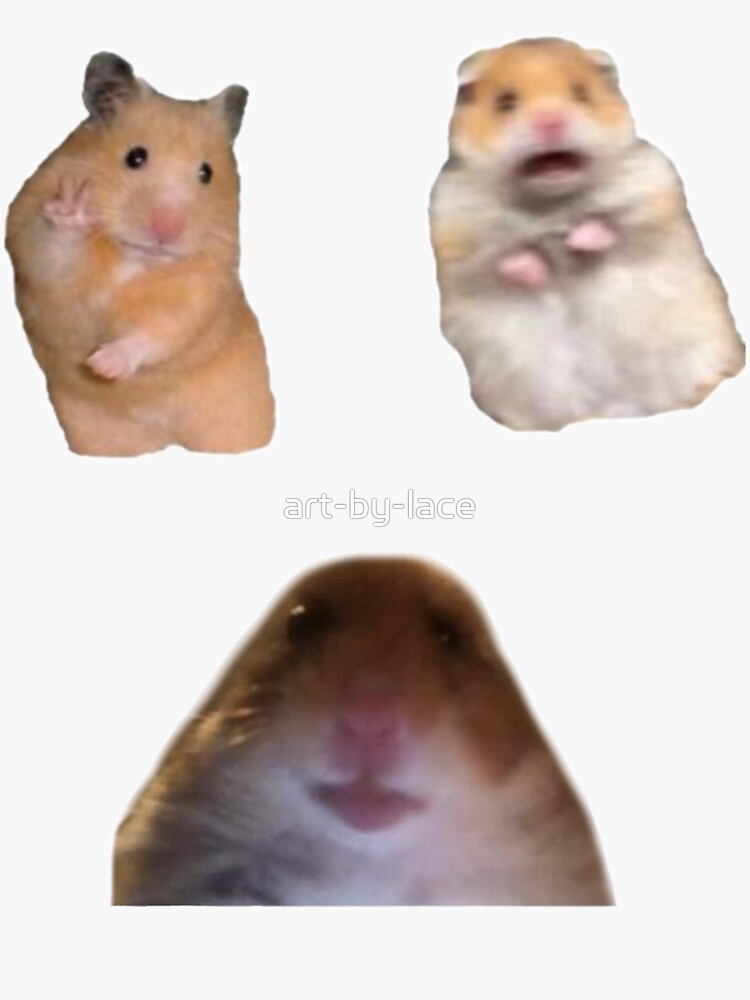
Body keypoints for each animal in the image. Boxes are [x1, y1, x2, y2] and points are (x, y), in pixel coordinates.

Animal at [6, 53, 274, 456]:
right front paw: (74, 208)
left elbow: (160, 330)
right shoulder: (31, 241)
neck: (135, 258)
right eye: (135, 157)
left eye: (206, 173)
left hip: (240, 411)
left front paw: (103, 365)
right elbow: (54, 250)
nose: (167, 231)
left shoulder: (201, 291)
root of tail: (168, 439)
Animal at [429, 38, 745, 431]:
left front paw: (575, 243)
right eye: (505, 102)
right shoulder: (454, 234)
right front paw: (541, 269)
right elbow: (506, 258)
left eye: (581, 94)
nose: (550, 122)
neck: (551, 201)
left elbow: (610, 225)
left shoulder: (655, 193)